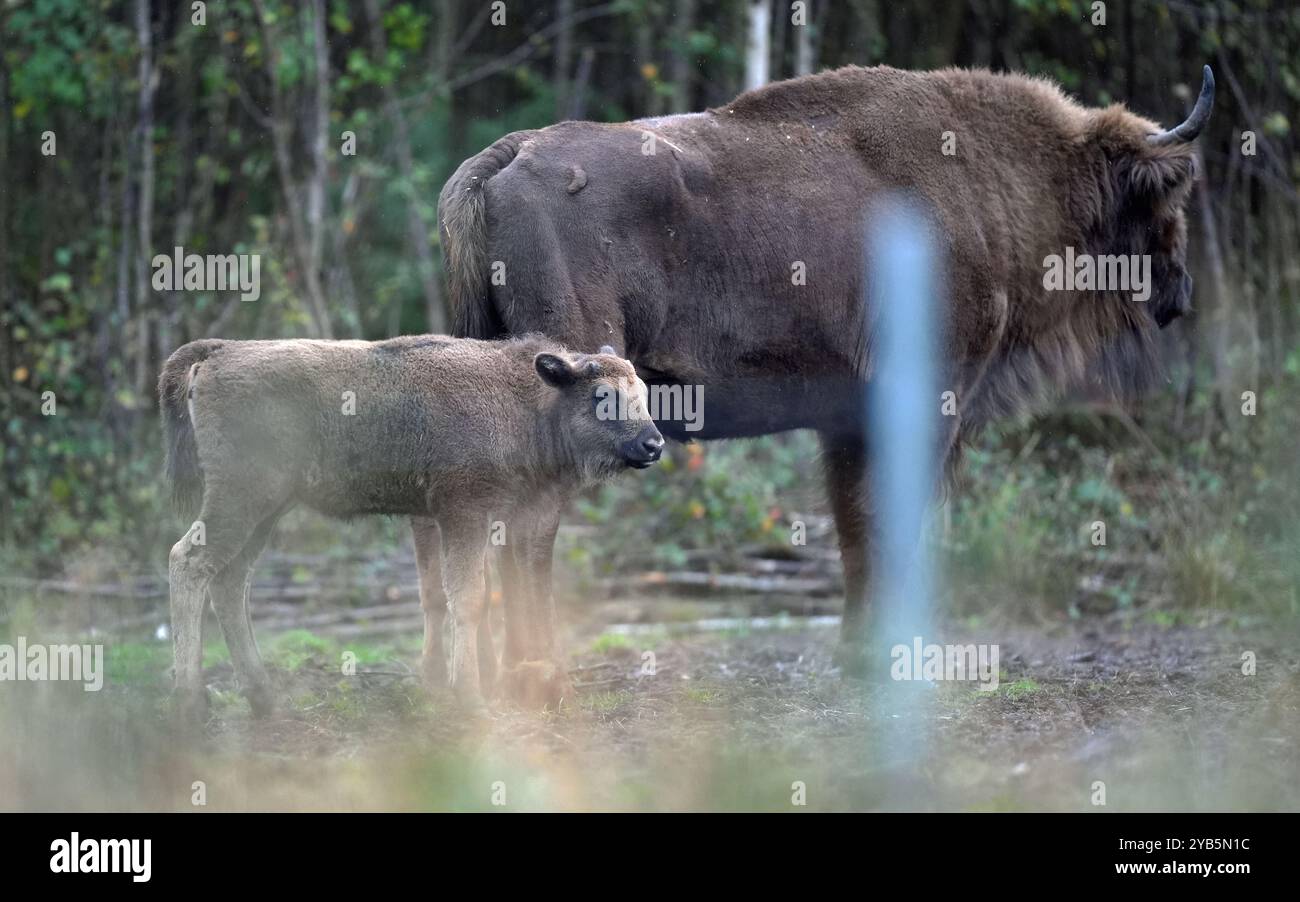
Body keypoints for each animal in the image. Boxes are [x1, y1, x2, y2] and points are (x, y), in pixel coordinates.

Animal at [159, 335, 663, 722]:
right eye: (601, 396)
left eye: (641, 392)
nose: (652, 443)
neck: (524, 398)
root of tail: (219, 352)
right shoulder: (463, 512)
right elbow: (468, 598)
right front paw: (470, 698)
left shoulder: (473, 519)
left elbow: (476, 595)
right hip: (240, 496)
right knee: (189, 561)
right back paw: (190, 705)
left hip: (267, 508)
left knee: (230, 581)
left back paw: (265, 701)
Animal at [436, 63, 1214, 673]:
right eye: (1173, 195)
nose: (1180, 291)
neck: (1010, 179)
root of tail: (507, 156)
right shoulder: (931, 403)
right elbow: (896, 520)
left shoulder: (848, 423)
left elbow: (854, 526)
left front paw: (858, 650)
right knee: (530, 537)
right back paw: (539, 670)